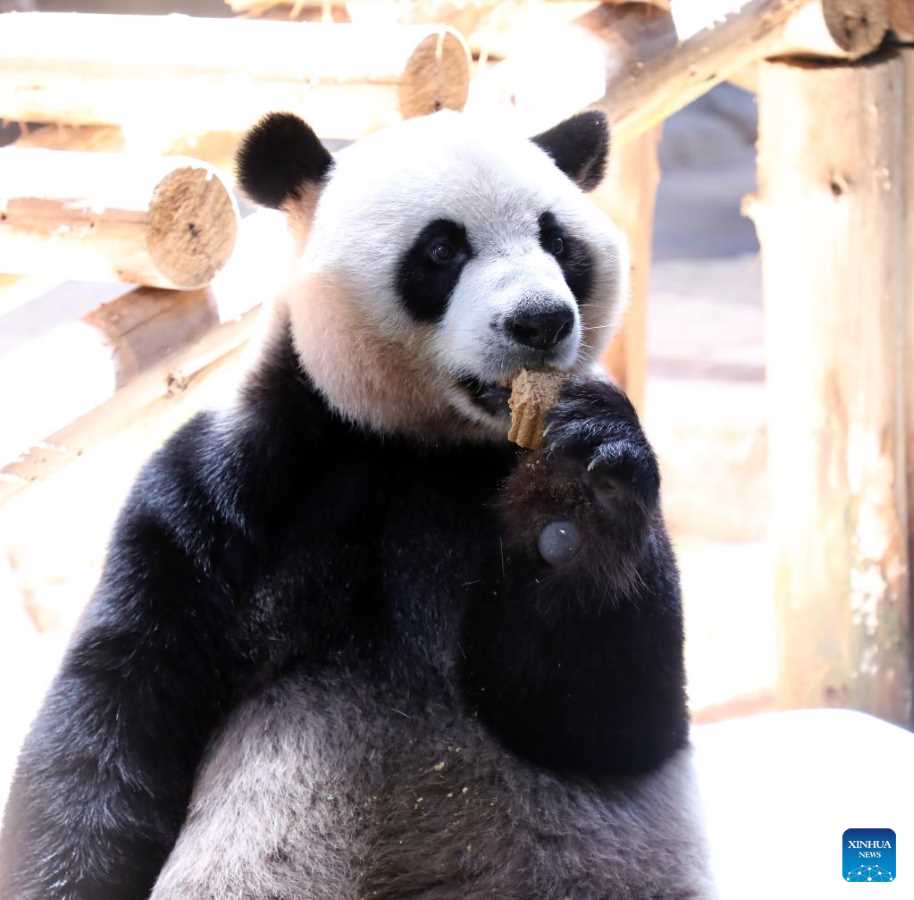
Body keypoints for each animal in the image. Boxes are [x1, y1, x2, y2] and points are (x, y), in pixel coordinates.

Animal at [0, 109, 715, 899]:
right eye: (442, 248)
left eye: (558, 242)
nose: (541, 322)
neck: (417, 445)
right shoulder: (225, 492)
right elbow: (117, 715)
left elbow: (605, 714)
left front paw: (578, 487)